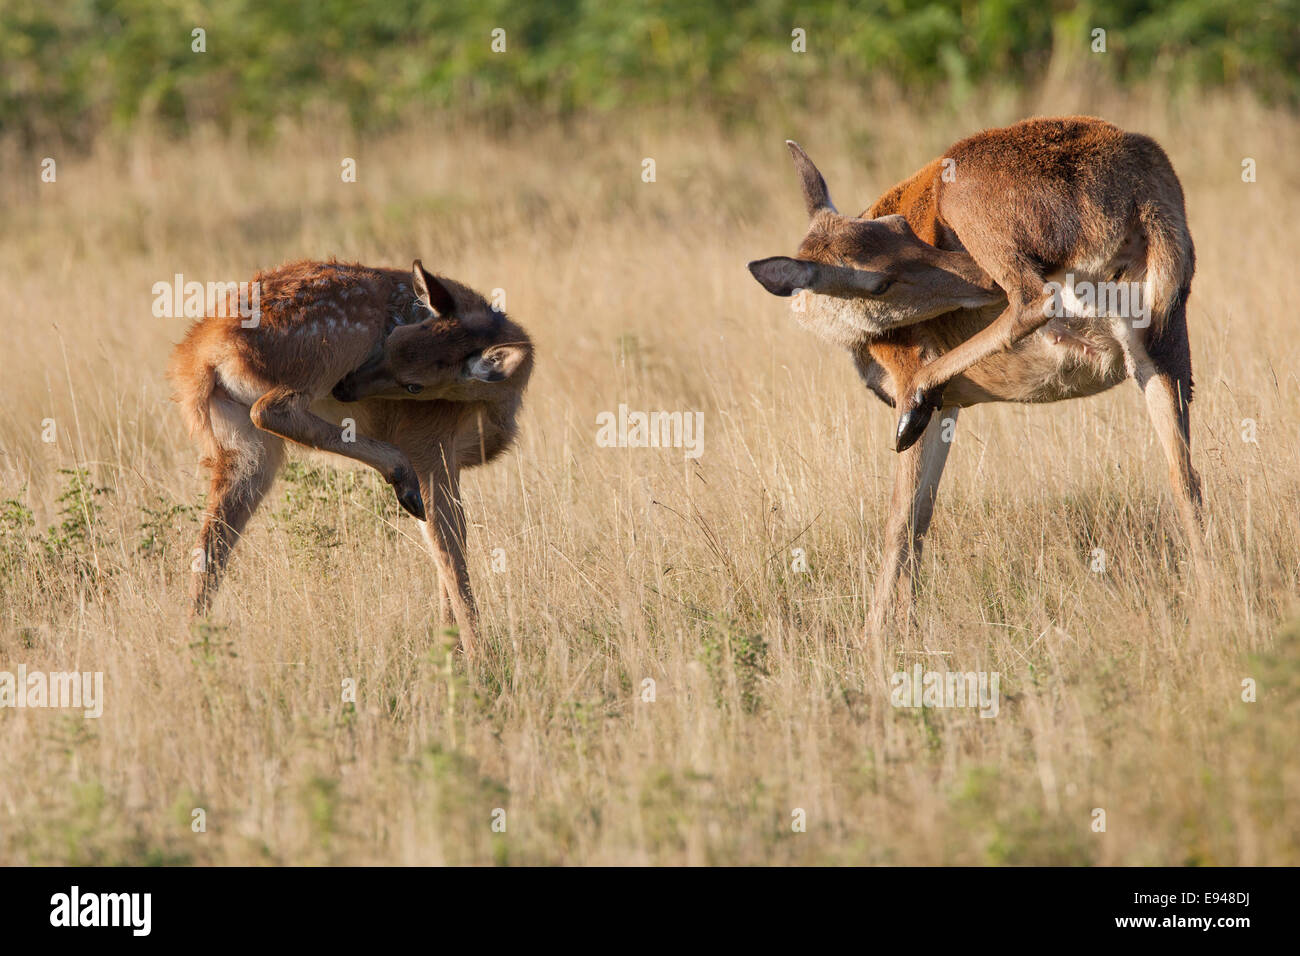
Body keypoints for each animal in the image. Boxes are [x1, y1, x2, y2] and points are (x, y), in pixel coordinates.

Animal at [168, 258, 534, 656]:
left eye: (414, 385)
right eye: (393, 336)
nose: (346, 387)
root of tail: (200, 356)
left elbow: (444, 540)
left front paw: (449, 646)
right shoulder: (427, 439)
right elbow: (449, 545)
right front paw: (475, 655)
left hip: (241, 447)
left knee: (211, 542)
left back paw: (192, 642)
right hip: (333, 346)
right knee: (272, 409)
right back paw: (399, 473)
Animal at [747, 116, 1203, 638]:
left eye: (902, 225)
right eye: (879, 280)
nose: (979, 281)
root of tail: (1139, 191)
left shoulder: (929, 398)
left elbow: (900, 519)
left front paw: (875, 636)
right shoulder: (952, 408)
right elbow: (921, 514)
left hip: (974, 213)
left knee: (1033, 298)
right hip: (1165, 345)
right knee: (1185, 476)